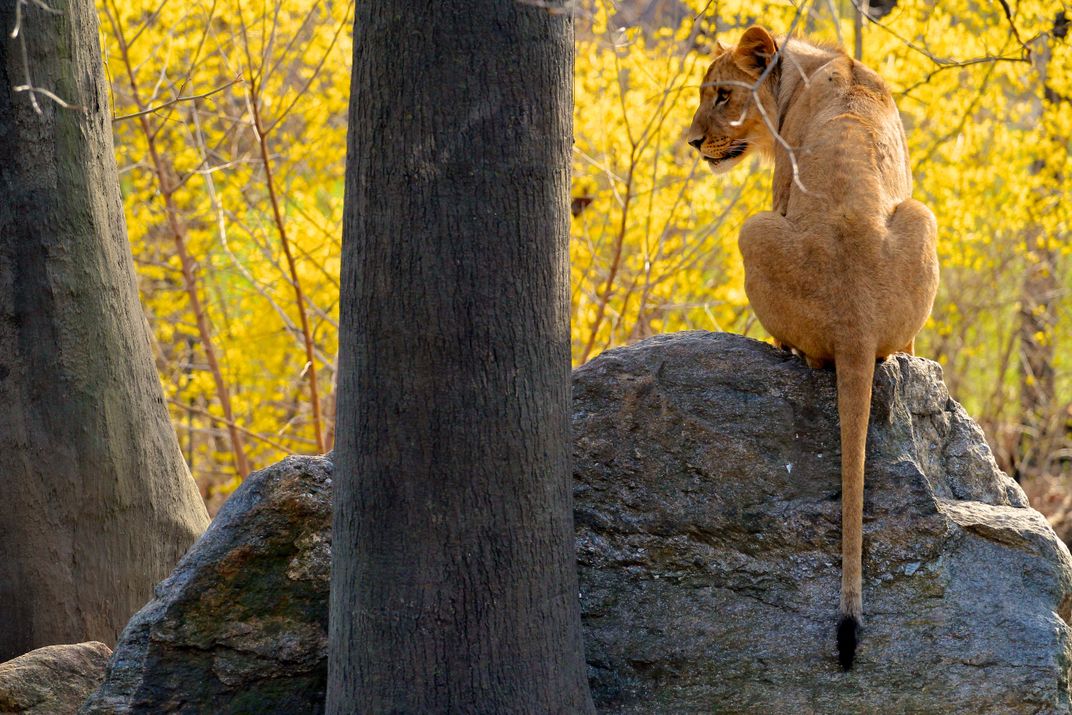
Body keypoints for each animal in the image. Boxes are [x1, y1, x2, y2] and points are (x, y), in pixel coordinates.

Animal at [687, 26, 940, 670]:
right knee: (898, 348)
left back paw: (779, 346)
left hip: (752, 228)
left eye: (722, 94)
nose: (694, 142)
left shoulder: (780, 186)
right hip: (922, 213)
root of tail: (856, 326)